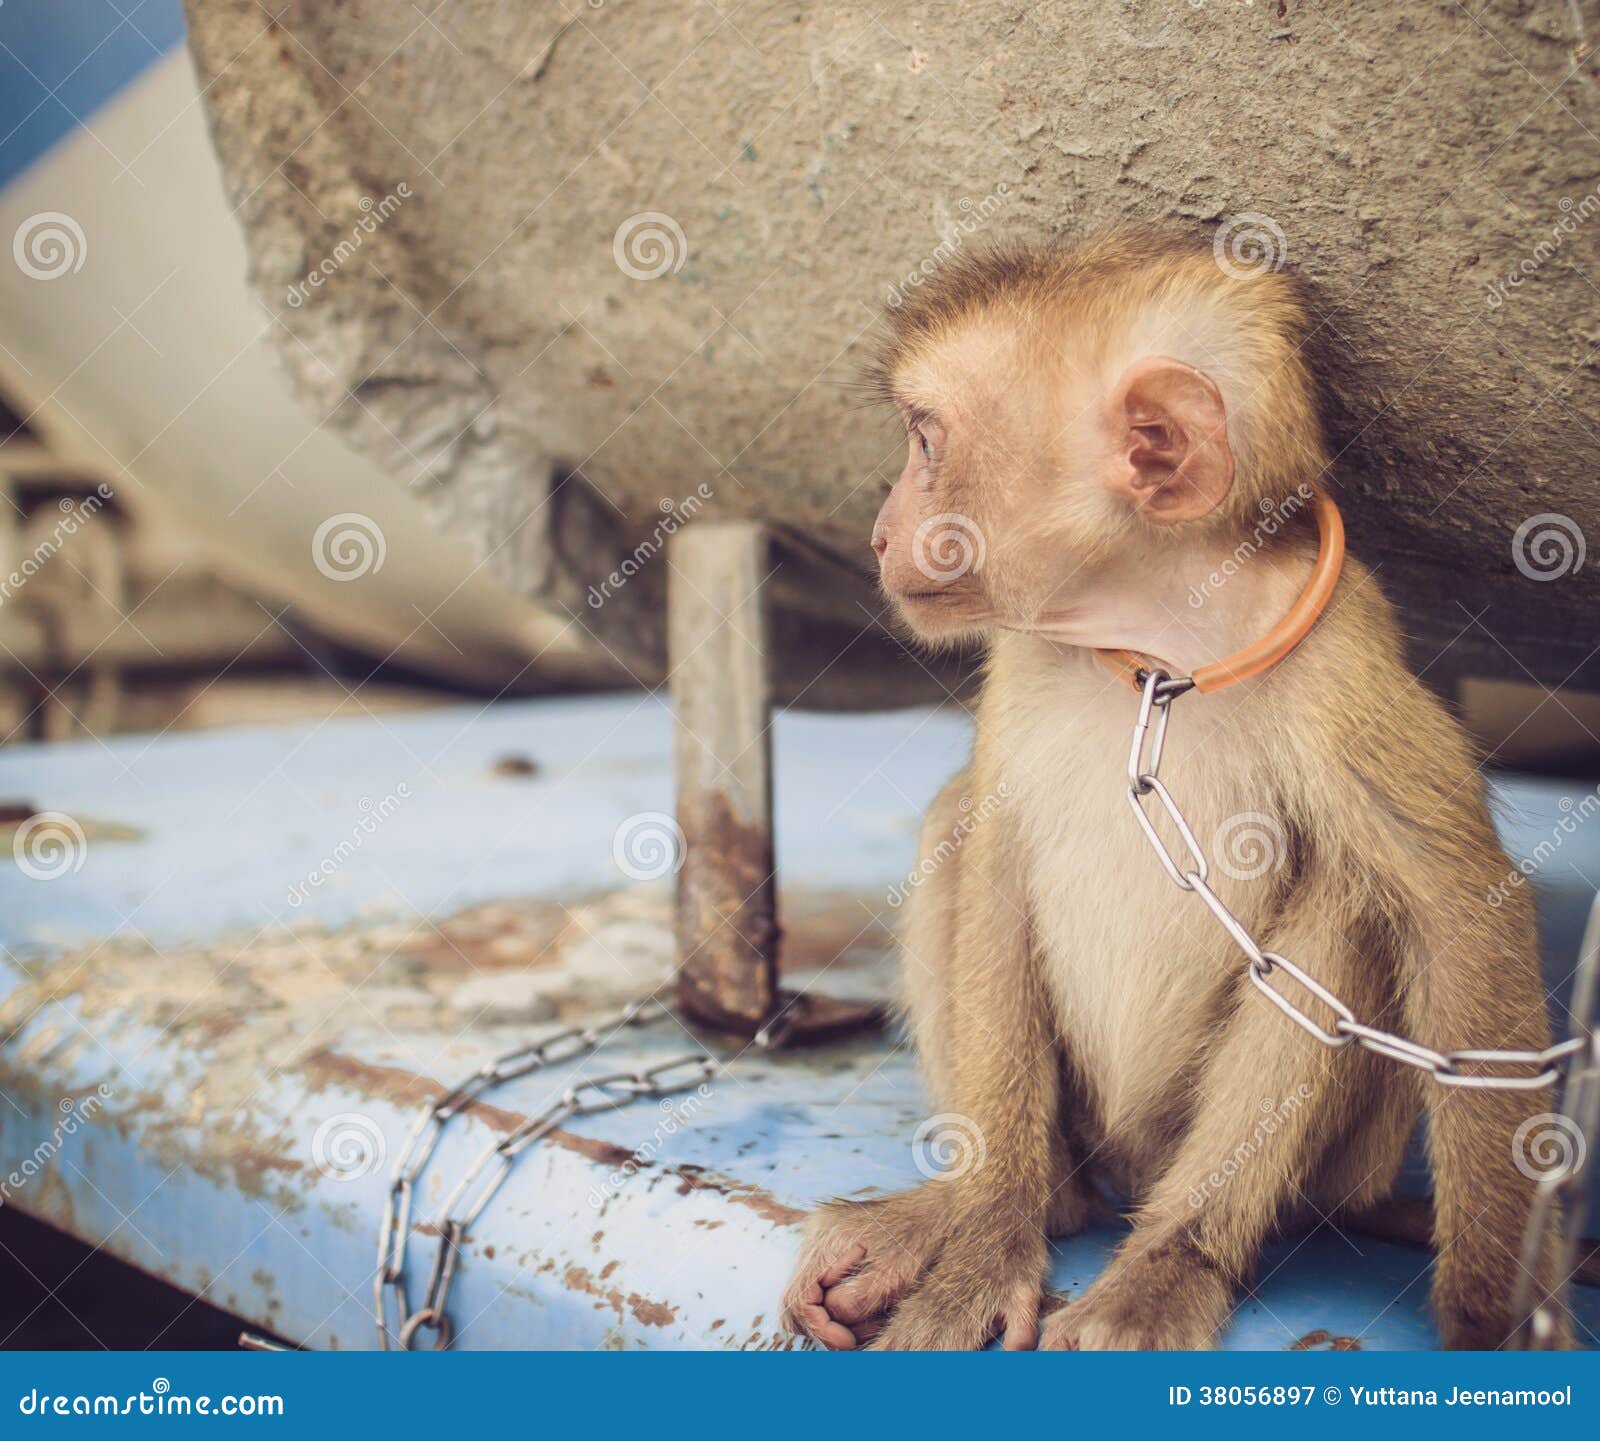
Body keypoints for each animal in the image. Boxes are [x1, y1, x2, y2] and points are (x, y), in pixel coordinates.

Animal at [779, 231, 1565, 1352]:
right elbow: (993, 858)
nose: (883, 530)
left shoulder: (1342, 668)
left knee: (1347, 897)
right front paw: (986, 1231)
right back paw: (1000, 1205)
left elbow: (1458, 906)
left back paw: (1176, 1258)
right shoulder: (1021, 657)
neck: (1162, 644)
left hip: (1326, 1164)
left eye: (925, 441)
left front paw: (1494, 1319)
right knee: (953, 824)